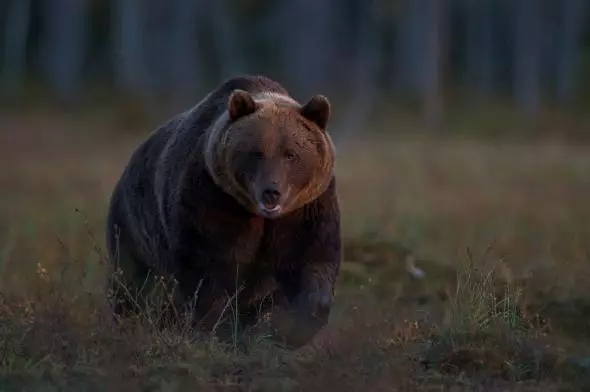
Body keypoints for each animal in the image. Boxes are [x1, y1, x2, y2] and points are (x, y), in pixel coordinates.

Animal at [106, 74, 342, 350]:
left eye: (290, 154)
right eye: (257, 152)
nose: (271, 192)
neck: (261, 216)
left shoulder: (306, 211)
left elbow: (311, 262)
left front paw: (287, 329)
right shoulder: (213, 201)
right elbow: (208, 272)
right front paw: (217, 330)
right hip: (133, 226)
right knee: (134, 282)